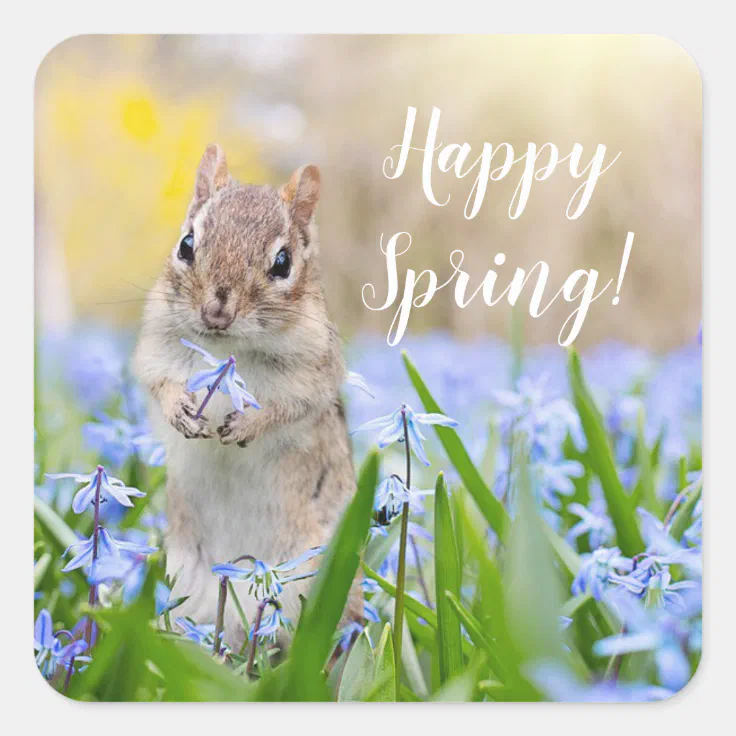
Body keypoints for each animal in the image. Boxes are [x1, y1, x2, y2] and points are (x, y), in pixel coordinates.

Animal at [133, 144, 361, 648]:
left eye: (283, 262)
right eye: (186, 244)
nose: (216, 311)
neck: (226, 348)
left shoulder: (313, 375)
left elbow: (287, 409)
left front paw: (247, 425)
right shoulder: (155, 350)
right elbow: (160, 385)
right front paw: (181, 411)